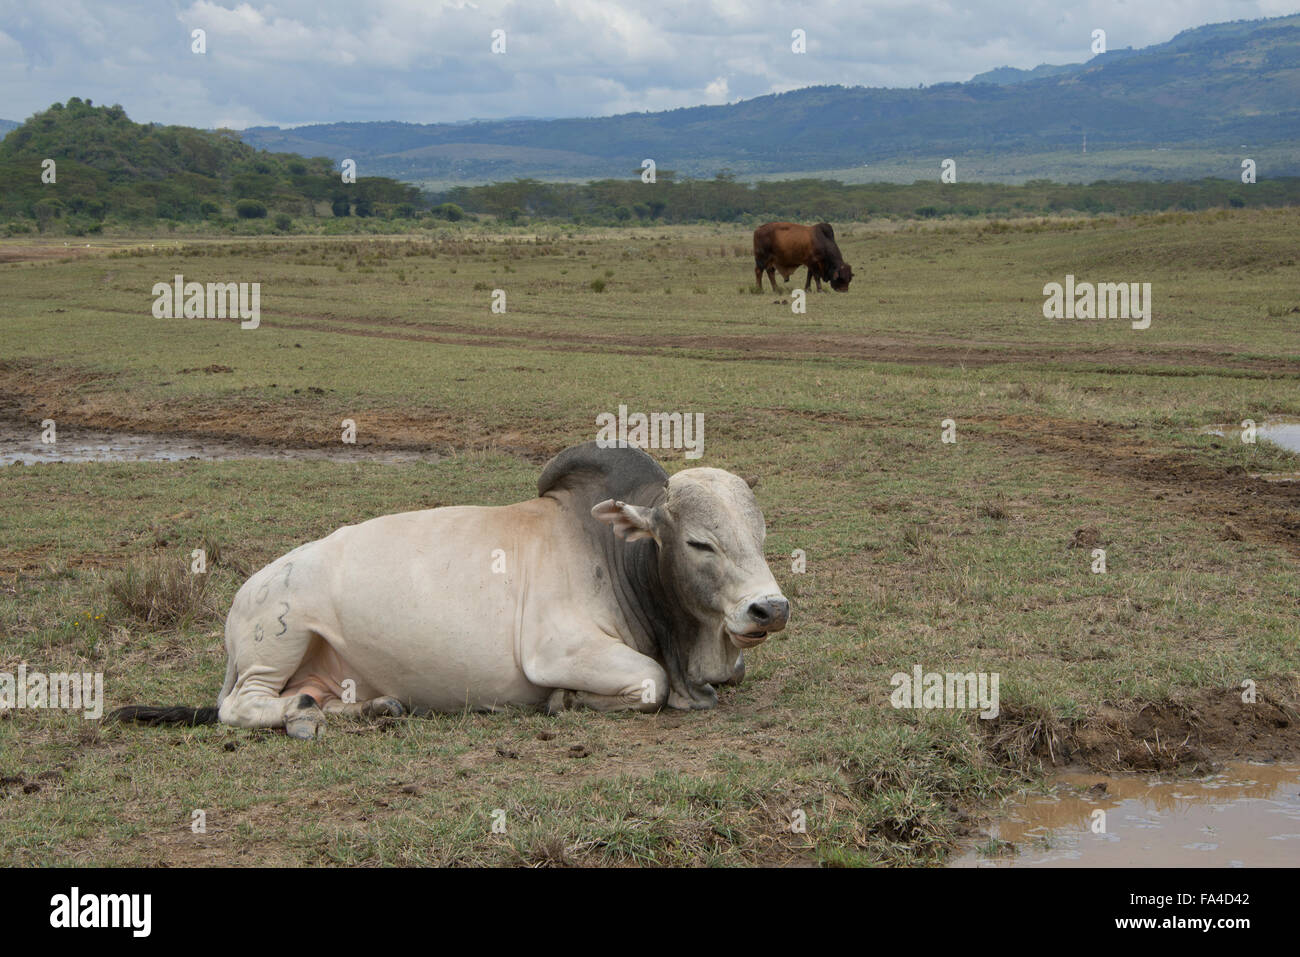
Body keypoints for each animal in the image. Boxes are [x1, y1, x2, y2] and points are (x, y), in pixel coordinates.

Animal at [106, 442, 790, 738]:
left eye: (759, 533)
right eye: (699, 543)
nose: (771, 608)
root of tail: (243, 594)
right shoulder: (558, 649)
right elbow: (648, 682)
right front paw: (565, 700)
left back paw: (369, 708)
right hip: (278, 637)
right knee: (239, 709)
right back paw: (306, 714)